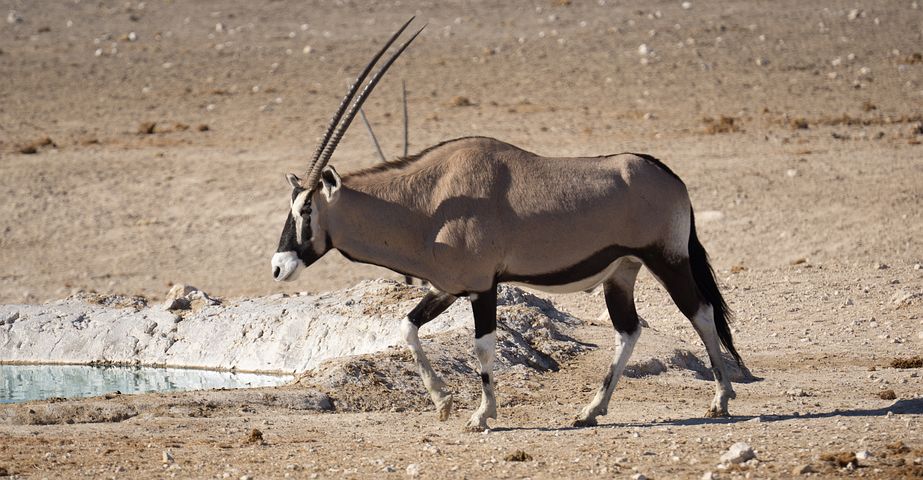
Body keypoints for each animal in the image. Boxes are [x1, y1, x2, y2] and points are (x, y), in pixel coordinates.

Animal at [271, 18, 742, 430]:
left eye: (307, 210)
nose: (278, 267)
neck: (430, 203)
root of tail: (669, 175)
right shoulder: (447, 285)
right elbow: (407, 327)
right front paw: (442, 402)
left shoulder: (483, 286)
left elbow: (483, 346)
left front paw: (482, 415)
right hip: (621, 273)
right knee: (628, 330)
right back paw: (591, 410)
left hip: (667, 260)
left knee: (700, 312)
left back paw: (720, 399)